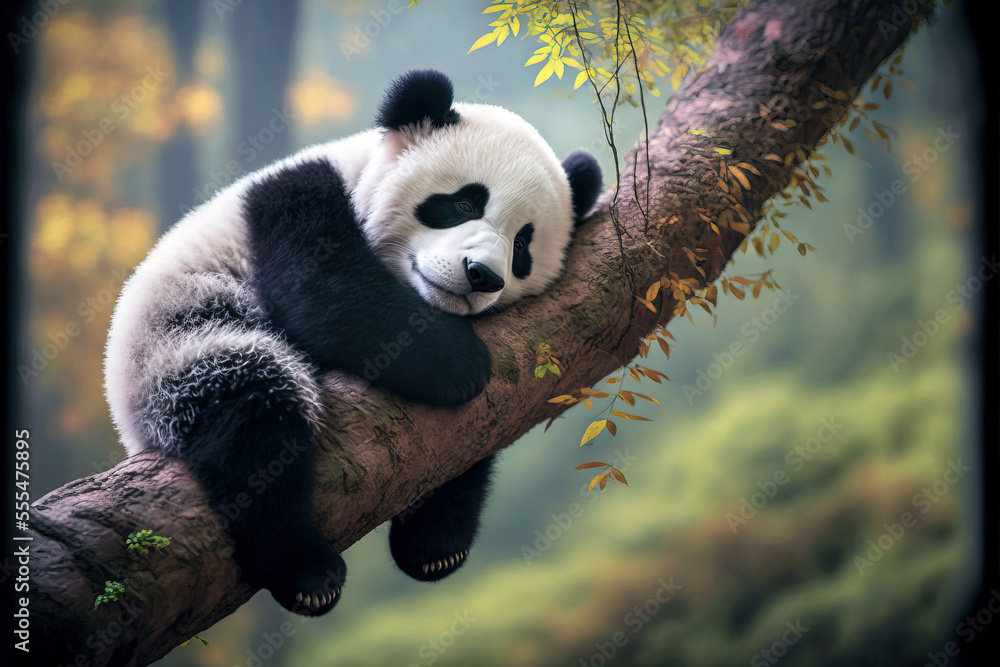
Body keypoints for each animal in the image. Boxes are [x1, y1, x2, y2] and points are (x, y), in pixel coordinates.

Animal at [104, 70, 602, 617]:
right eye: (464, 204)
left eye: (523, 246)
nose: (482, 274)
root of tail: (129, 426)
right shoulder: (291, 199)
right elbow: (325, 289)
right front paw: (458, 362)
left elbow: (484, 428)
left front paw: (434, 541)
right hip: (176, 345)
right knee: (251, 407)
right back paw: (306, 572)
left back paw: (436, 545)